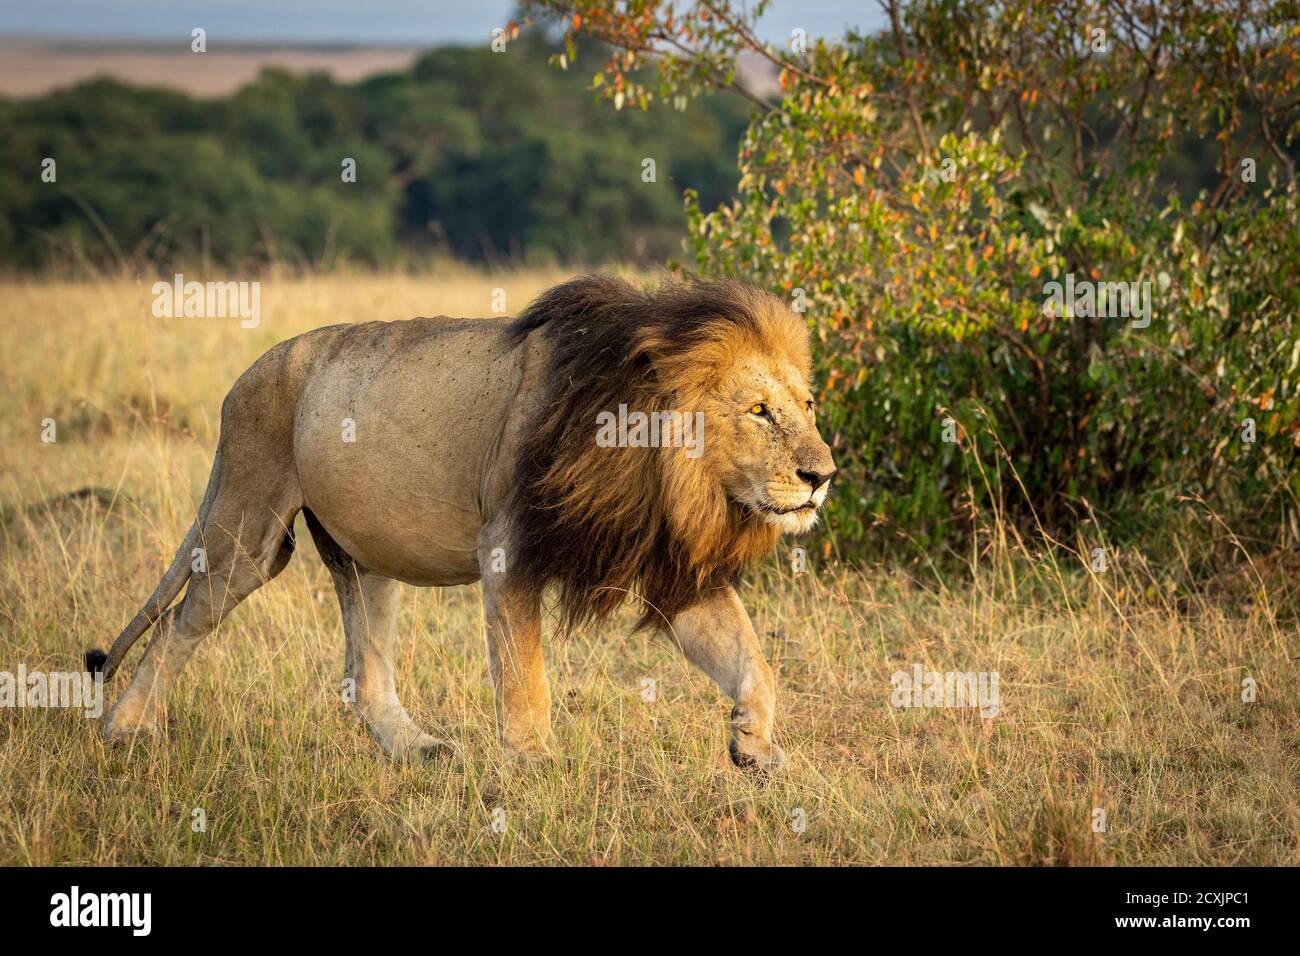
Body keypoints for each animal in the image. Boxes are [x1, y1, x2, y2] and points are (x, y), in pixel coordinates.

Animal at [86, 273, 836, 770]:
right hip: (248, 524)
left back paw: (416, 749)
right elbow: (525, 678)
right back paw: (125, 731)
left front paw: (754, 744)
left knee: (366, 676)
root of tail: (243, 378)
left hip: (366, 555)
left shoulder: (670, 564)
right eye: (759, 411)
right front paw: (533, 769)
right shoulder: (507, 547)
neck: (661, 471)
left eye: (805, 404)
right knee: (177, 626)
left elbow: (749, 657)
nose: (822, 476)